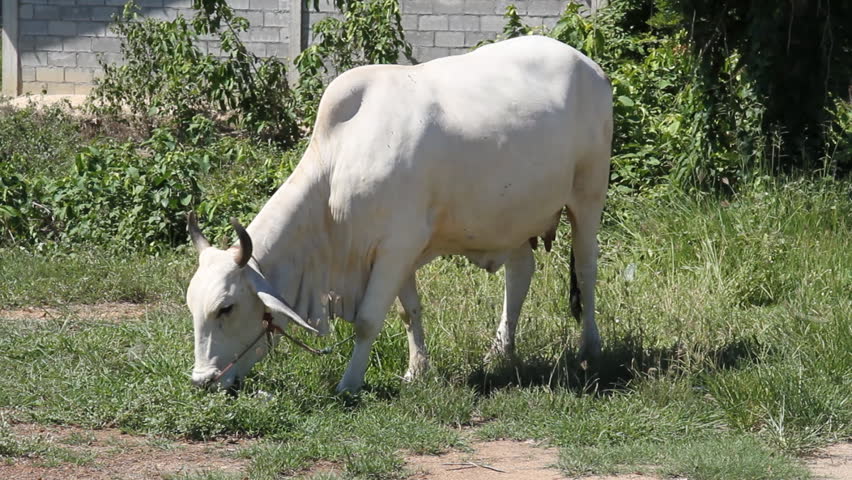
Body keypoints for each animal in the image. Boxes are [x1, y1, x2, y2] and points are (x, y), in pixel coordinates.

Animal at [186, 35, 612, 393]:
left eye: (226, 308)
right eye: (192, 307)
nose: (203, 381)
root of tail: (588, 64)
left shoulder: (396, 247)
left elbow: (368, 320)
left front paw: (349, 384)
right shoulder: (400, 251)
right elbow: (410, 311)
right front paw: (416, 370)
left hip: (588, 196)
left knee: (586, 270)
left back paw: (589, 347)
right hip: (512, 218)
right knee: (520, 273)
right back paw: (500, 350)